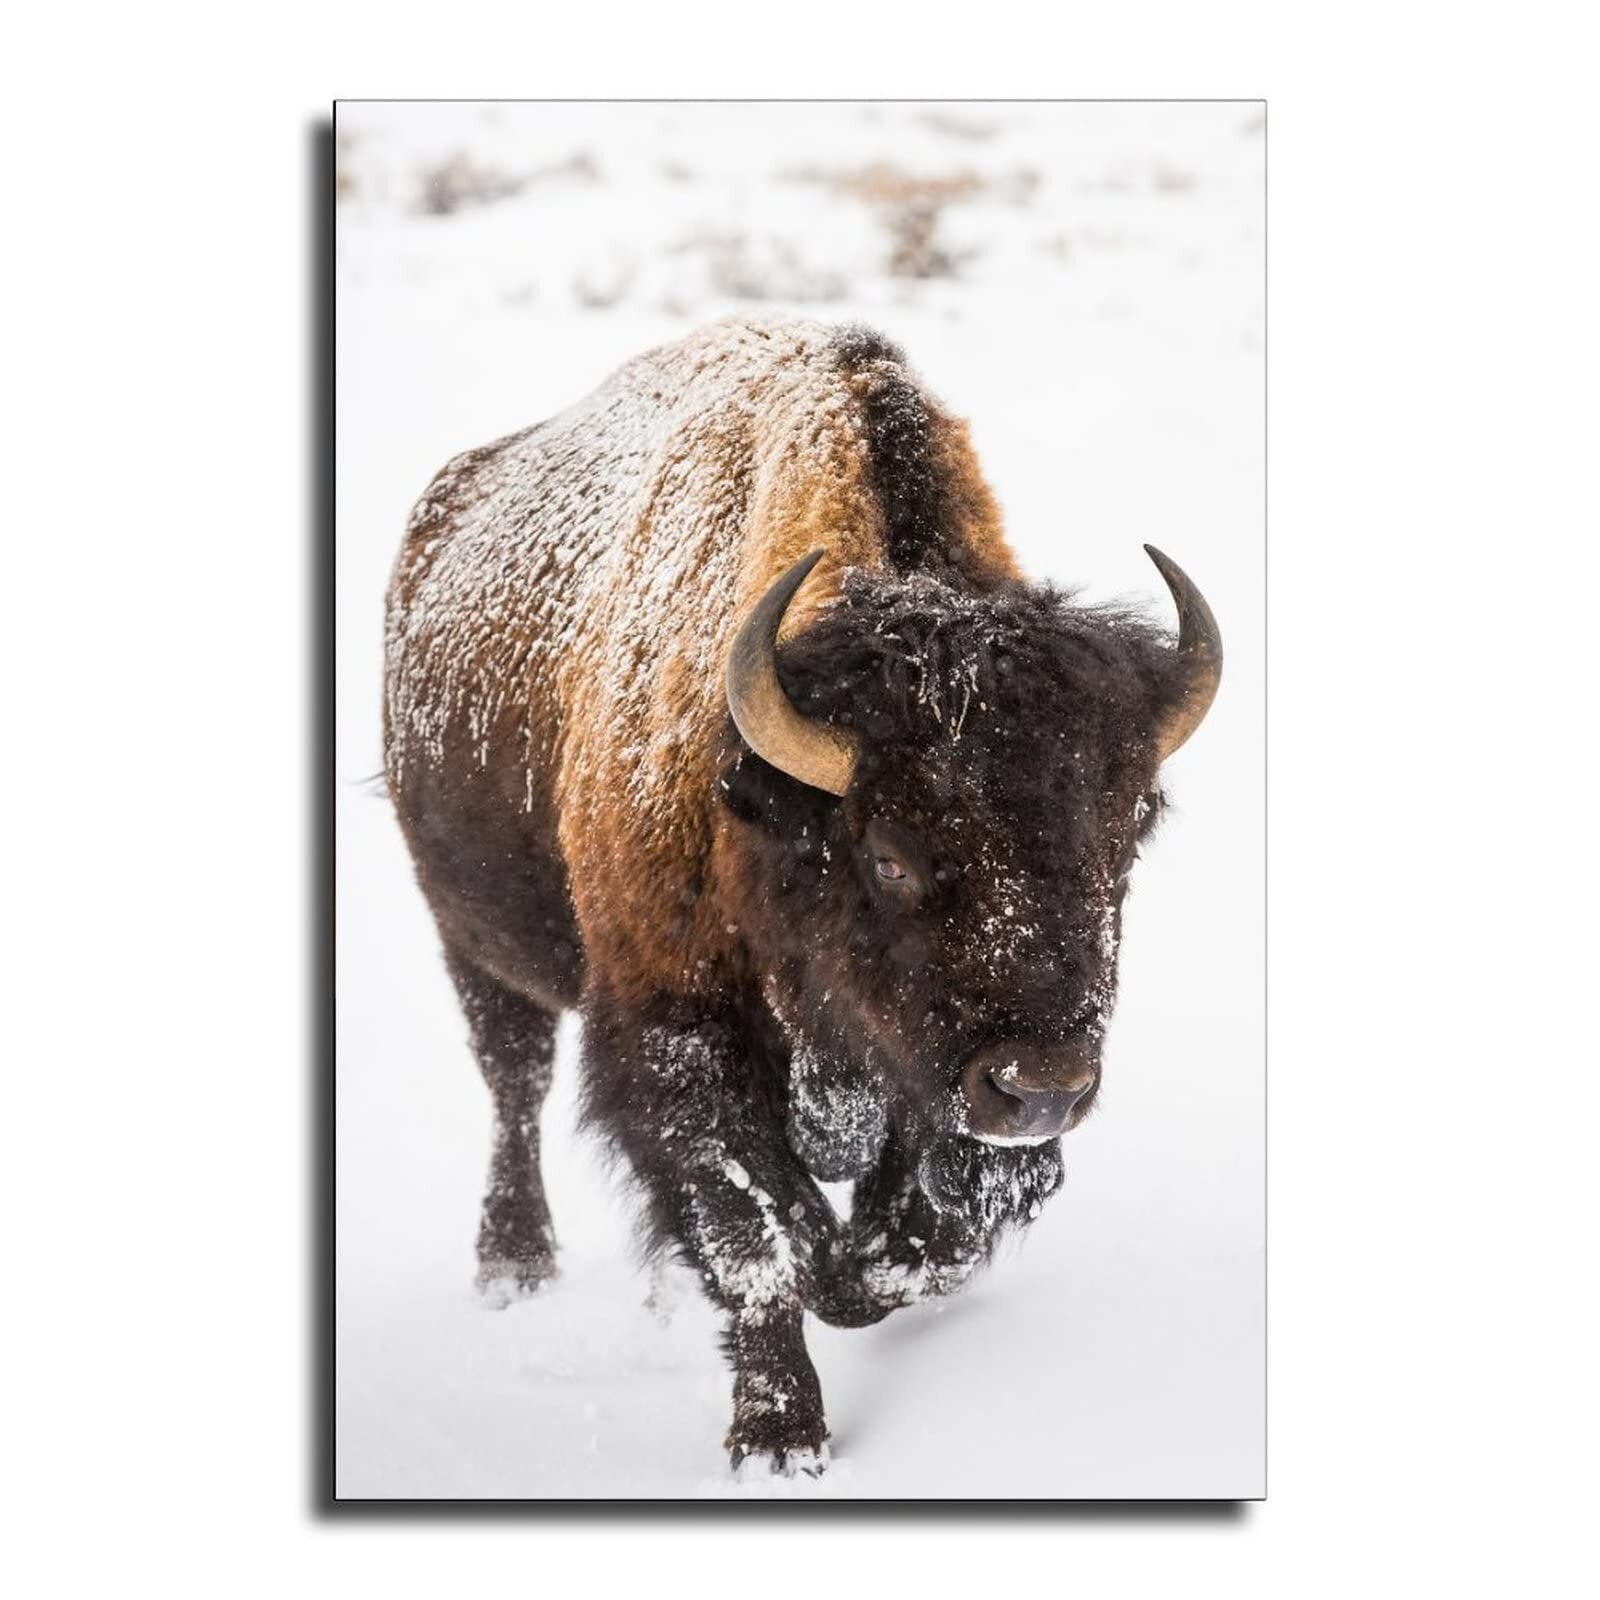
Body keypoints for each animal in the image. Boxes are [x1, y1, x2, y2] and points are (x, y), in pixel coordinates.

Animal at [383, 317, 1221, 1474]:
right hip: (475, 940)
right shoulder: (678, 1035)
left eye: (1128, 833)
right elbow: (759, 1239)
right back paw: (513, 1265)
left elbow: (924, 1239)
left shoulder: (935, 1085)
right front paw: (780, 1437)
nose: (1043, 1087)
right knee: (513, 1081)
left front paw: (856, 1275)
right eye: (891, 855)